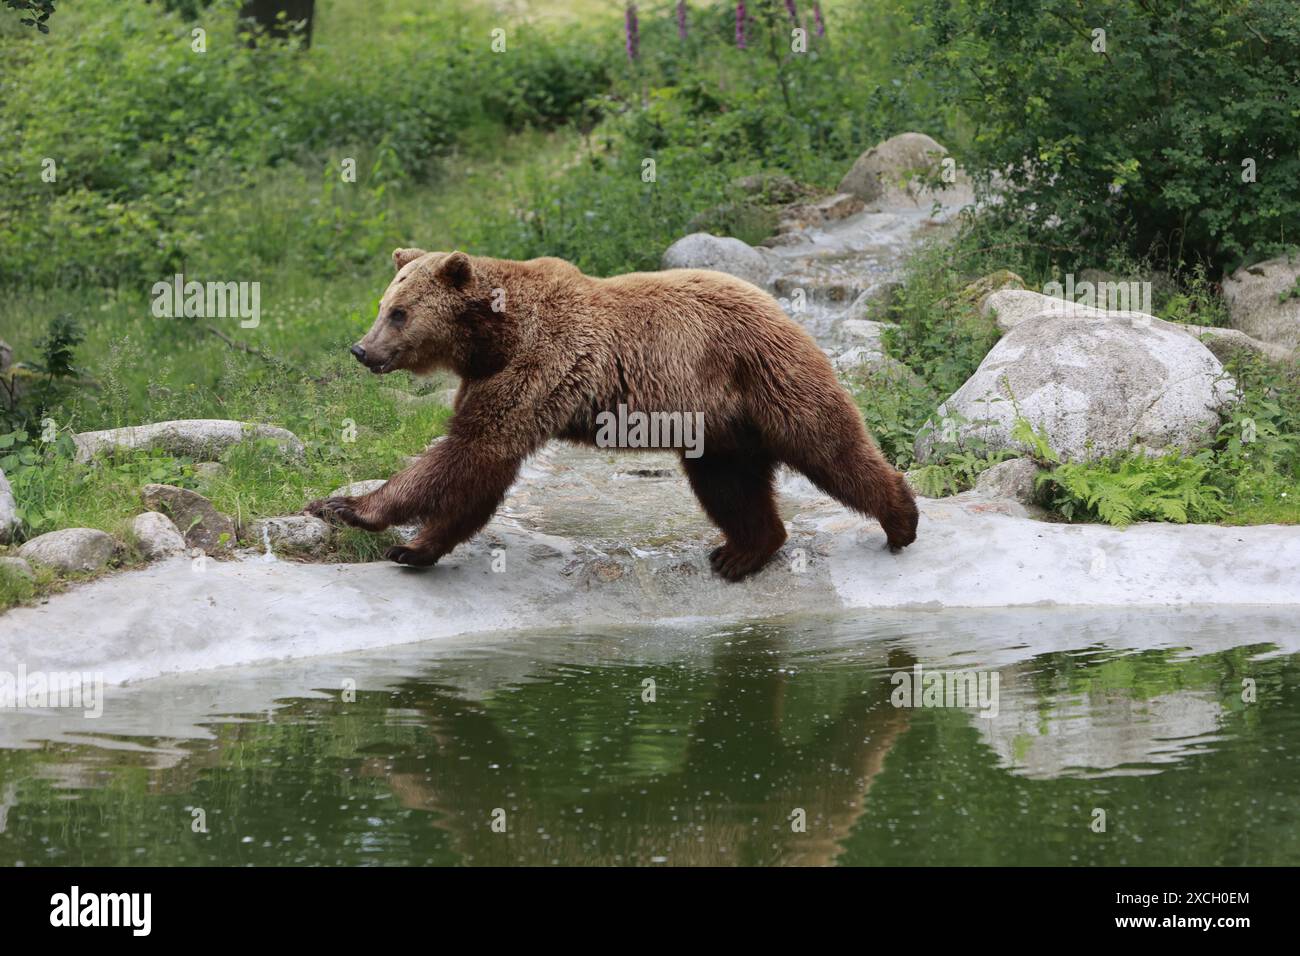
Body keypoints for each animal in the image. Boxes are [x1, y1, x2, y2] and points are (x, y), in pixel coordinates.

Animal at [304, 248, 918, 580]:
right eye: (383, 306)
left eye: (399, 313)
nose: (362, 349)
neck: (493, 338)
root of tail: (781, 307)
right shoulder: (490, 379)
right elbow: (479, 470)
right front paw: (413, 547)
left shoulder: (542, 362)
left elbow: (470, 453)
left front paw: (345, 506)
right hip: (718, 424)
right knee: (728, 482)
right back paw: (743, 551)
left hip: (761, 373)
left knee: (827, 442)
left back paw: (901, 517)